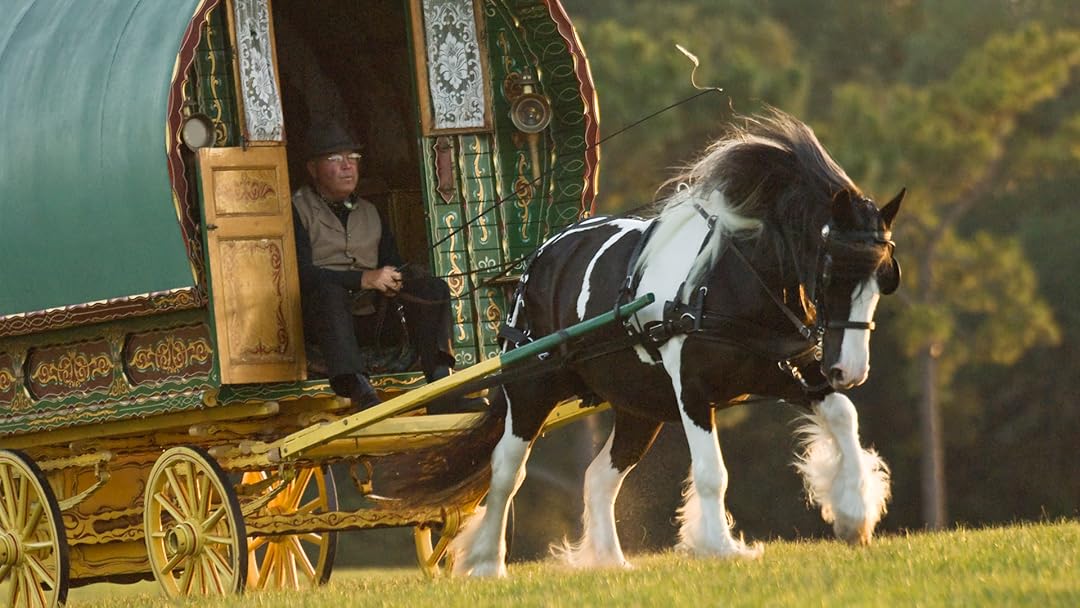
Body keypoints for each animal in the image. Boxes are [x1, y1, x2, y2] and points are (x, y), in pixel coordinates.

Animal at [391, 108, 902, 576]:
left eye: (884, 278)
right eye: (833, 272)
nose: (850, 370)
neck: (733, 278)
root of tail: (540, 256)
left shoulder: (779, 370)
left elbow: (843, 413)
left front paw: (855, 515)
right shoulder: (693, 389)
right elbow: (712, 472)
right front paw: (720, 546)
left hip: (638, 404)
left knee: (597, 477)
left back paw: (610, 561)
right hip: (532, 389)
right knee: (504, 473)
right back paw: (487, 564)